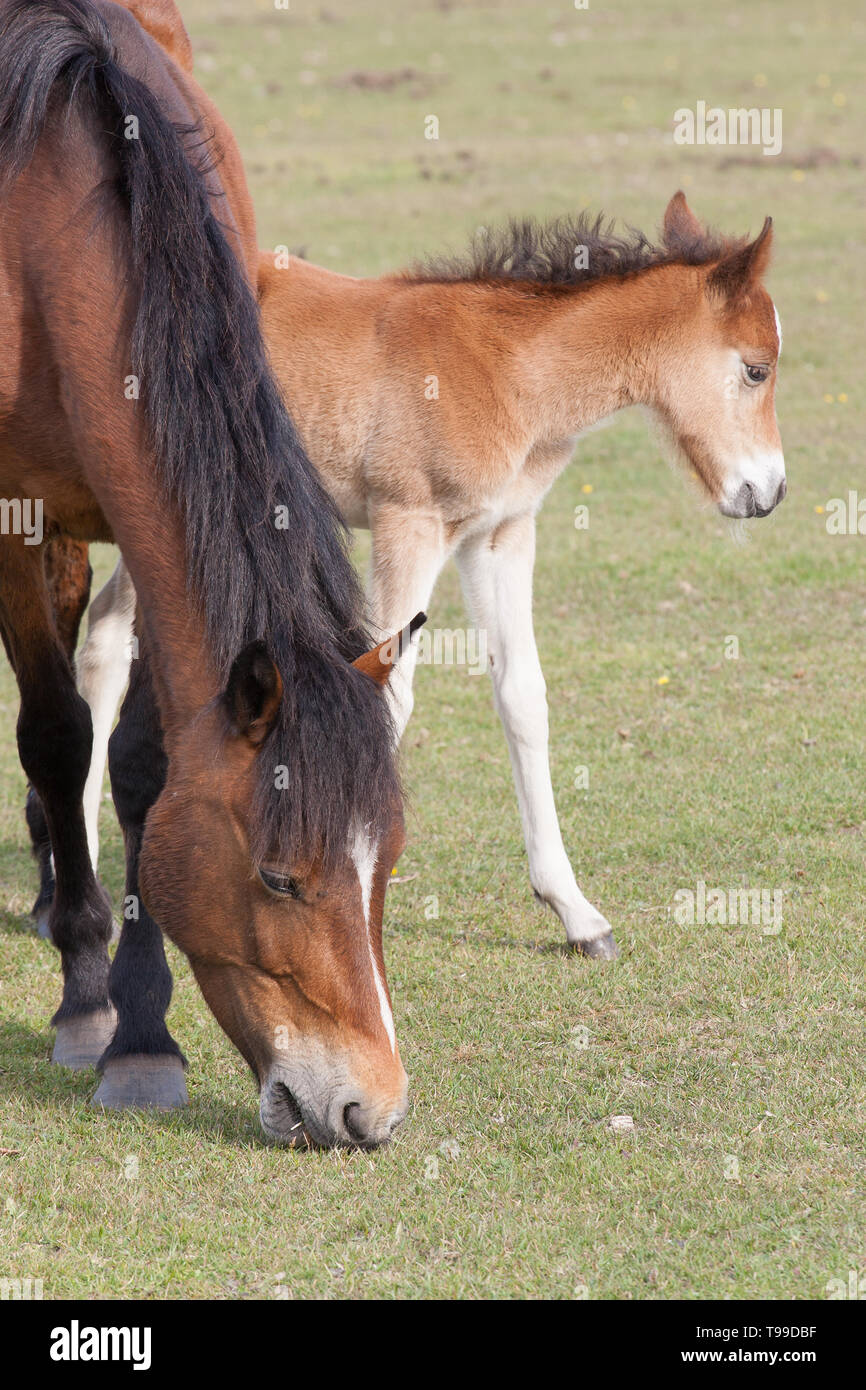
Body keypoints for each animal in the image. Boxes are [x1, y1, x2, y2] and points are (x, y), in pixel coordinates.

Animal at [0, 0, 417, 1149]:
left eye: (385, 866)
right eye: (279, 875)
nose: (370, 1108)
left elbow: (145, 766)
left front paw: (143, 1028)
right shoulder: (6, 515)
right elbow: (57, 732)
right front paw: (92, 999)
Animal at [57, 190, 785, 962]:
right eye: (757, 369)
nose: (769, 493)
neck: (506, 369)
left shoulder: (500, 532)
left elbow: (523, 696)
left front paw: (577, 913)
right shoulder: (409, 522)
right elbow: (389, 695)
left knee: (104, 640)